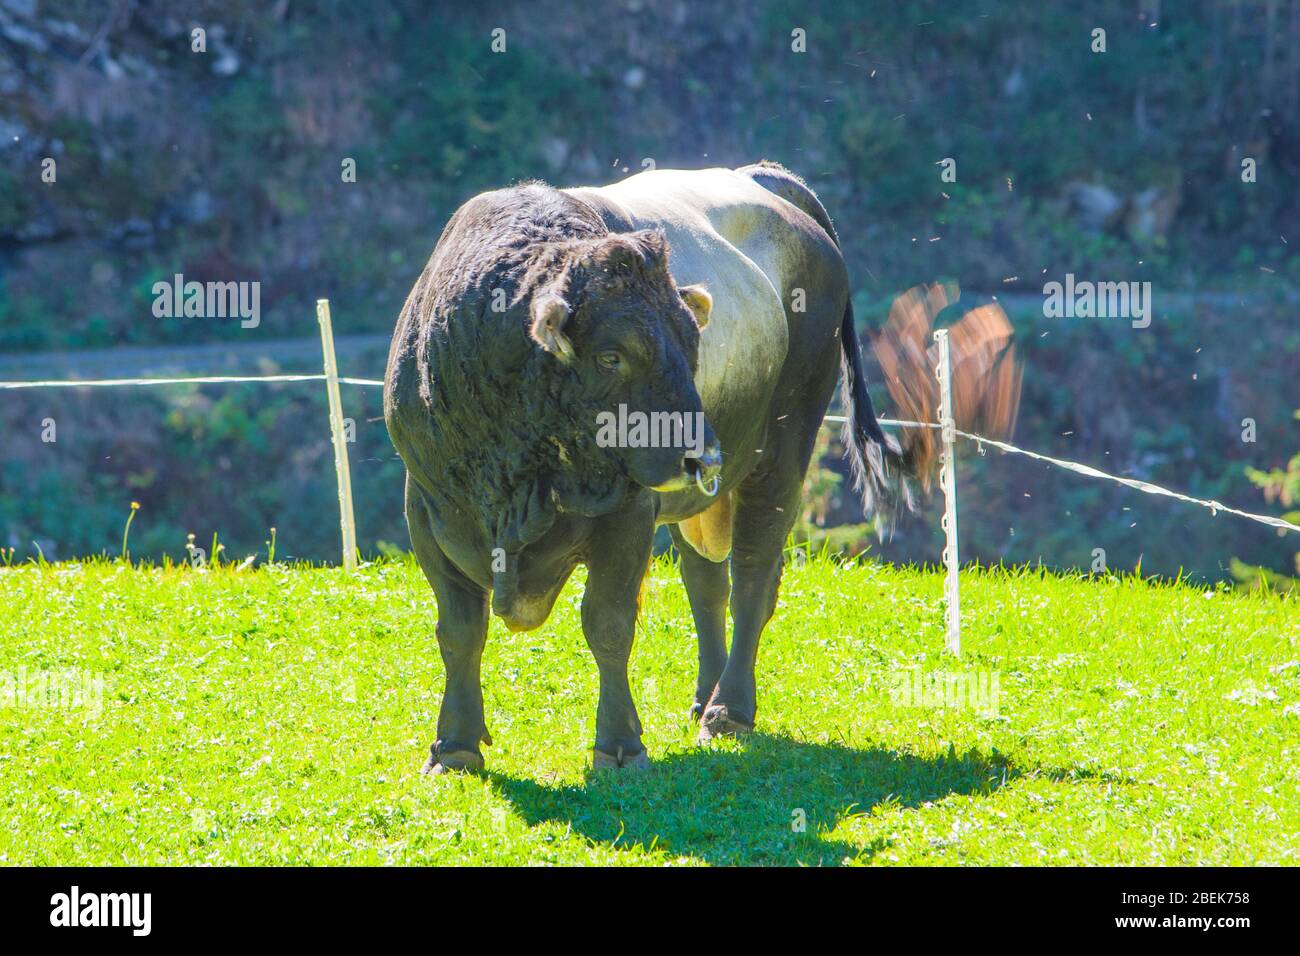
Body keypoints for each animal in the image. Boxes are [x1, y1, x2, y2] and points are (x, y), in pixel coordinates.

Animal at [384, 161, 1017, 773]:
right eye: (610, 355)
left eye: (692, 348)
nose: (701, 454)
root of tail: (761, 176)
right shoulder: (427, 508)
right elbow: (460, 629)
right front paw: (454, 744)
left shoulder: (627, 512)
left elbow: (608, 622)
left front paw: (619, 745)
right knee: (707, 585)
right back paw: (705, 693)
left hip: (782, 451)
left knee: (752, 581)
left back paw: (728, 708)